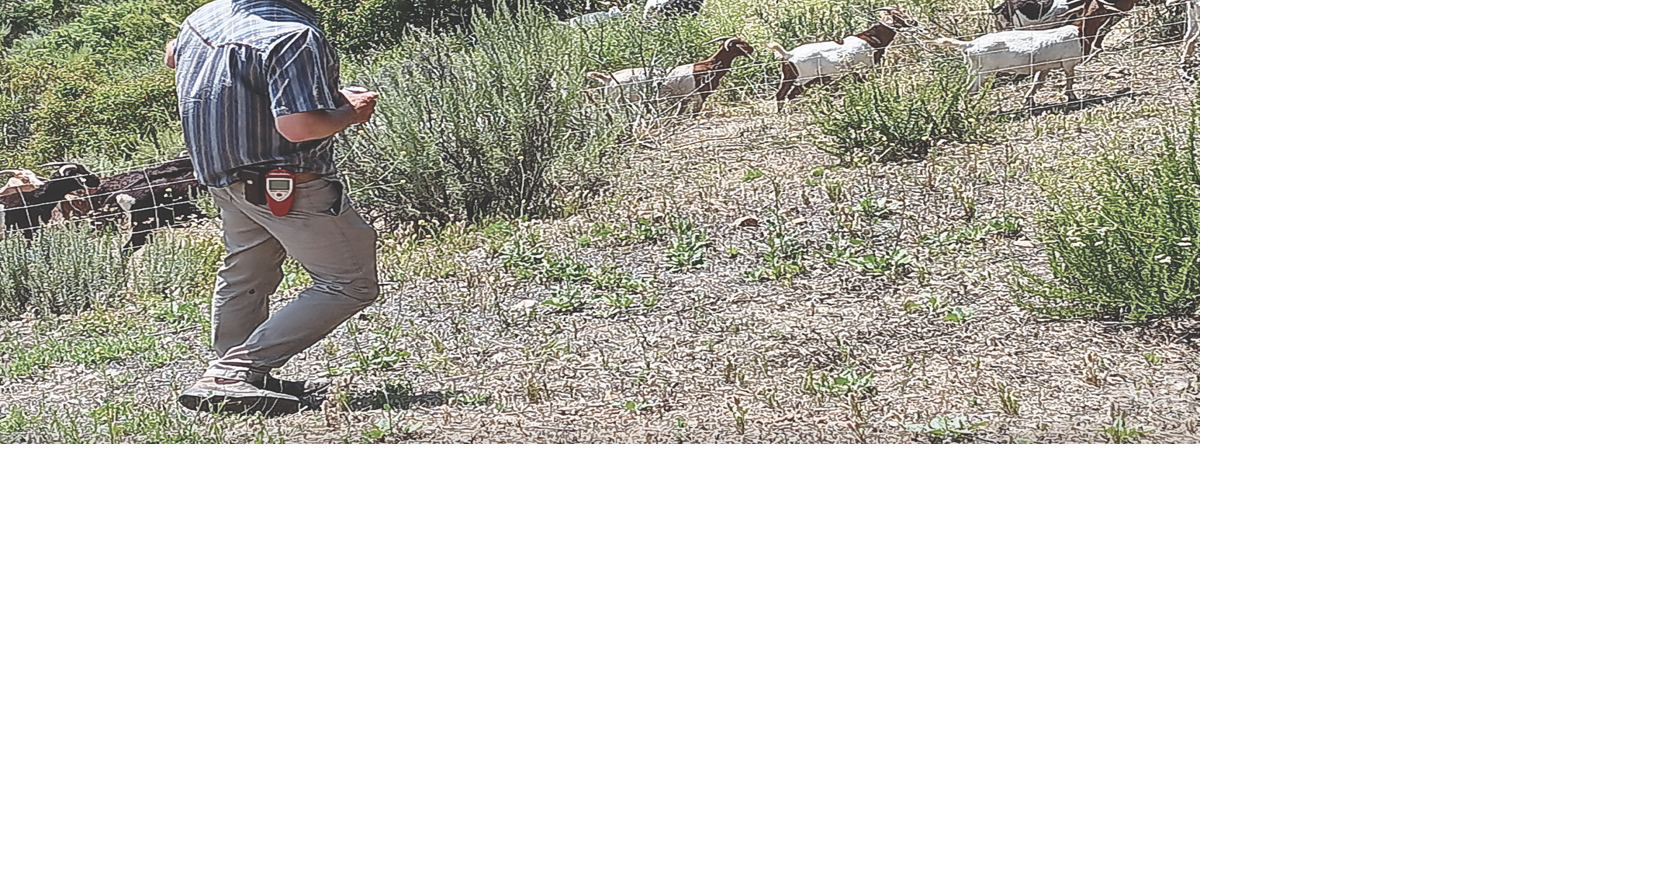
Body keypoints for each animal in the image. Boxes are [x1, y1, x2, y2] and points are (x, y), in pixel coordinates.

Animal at [586, 37, 755, 116]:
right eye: (740, 44)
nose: (752, 49)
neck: (710, 66)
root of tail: (608, 78)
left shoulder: (683, 99)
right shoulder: (698, 96)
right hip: (617, 103)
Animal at [766, 7, 917, 110]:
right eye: (897, 15)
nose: (913, 21)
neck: (872, 39)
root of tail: (788, 54)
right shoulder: (863, 69)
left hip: (787, 76)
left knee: (780, 94)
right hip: (805, 78)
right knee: (791, 95)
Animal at [933, 0, 1120, 108]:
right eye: (1103, 11)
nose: (1116, 13)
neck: (1081, 32)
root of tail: (969, 44)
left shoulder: (1045, 66)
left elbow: (1038, 83)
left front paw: (1029, 101)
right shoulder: (1068, 62)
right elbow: (1069, 80)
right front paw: (1072, 98)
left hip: (974, 69)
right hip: (983, 71)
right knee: (969, 90)